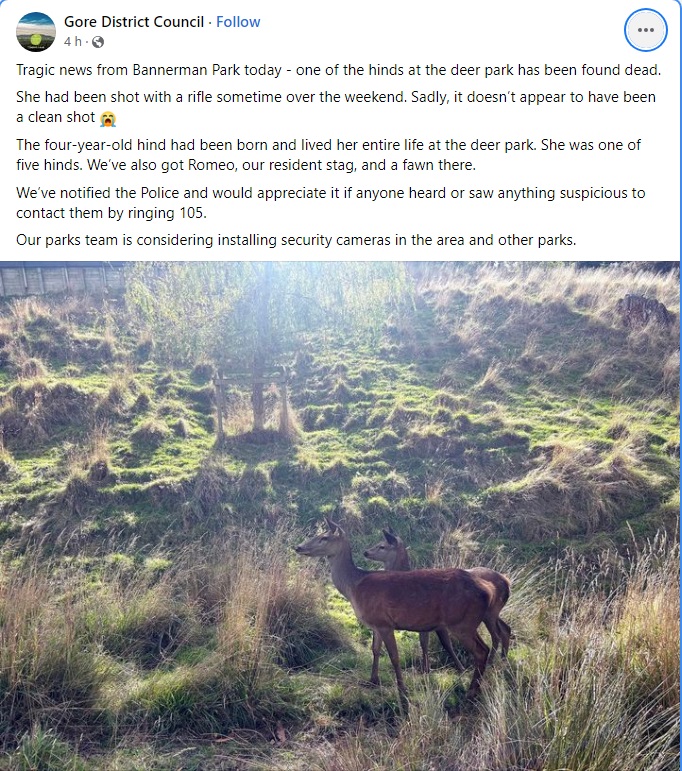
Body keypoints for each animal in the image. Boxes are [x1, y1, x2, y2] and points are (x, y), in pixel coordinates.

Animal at [295, 518, 493, 706]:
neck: (355, 588)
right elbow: (375, 650)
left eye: (324, 537)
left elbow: (394, 656)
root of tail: (487, 591)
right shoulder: (375, 623)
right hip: (469, 623)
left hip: (460, 622)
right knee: (485, 647)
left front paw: (402, 690)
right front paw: (373, 680)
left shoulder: (385, 623)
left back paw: (471, 693)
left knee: (481, 650)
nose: (298, 547)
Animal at [364, 528, 512, 669]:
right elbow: (443, 643)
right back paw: (504, 659)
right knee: (505, 629)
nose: (366, 552)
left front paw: (429, 669)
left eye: (382, 546)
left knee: (496, 635)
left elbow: (432, 643)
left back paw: (492, 662)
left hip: (489, 613)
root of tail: (507, 582)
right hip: (491, 613)